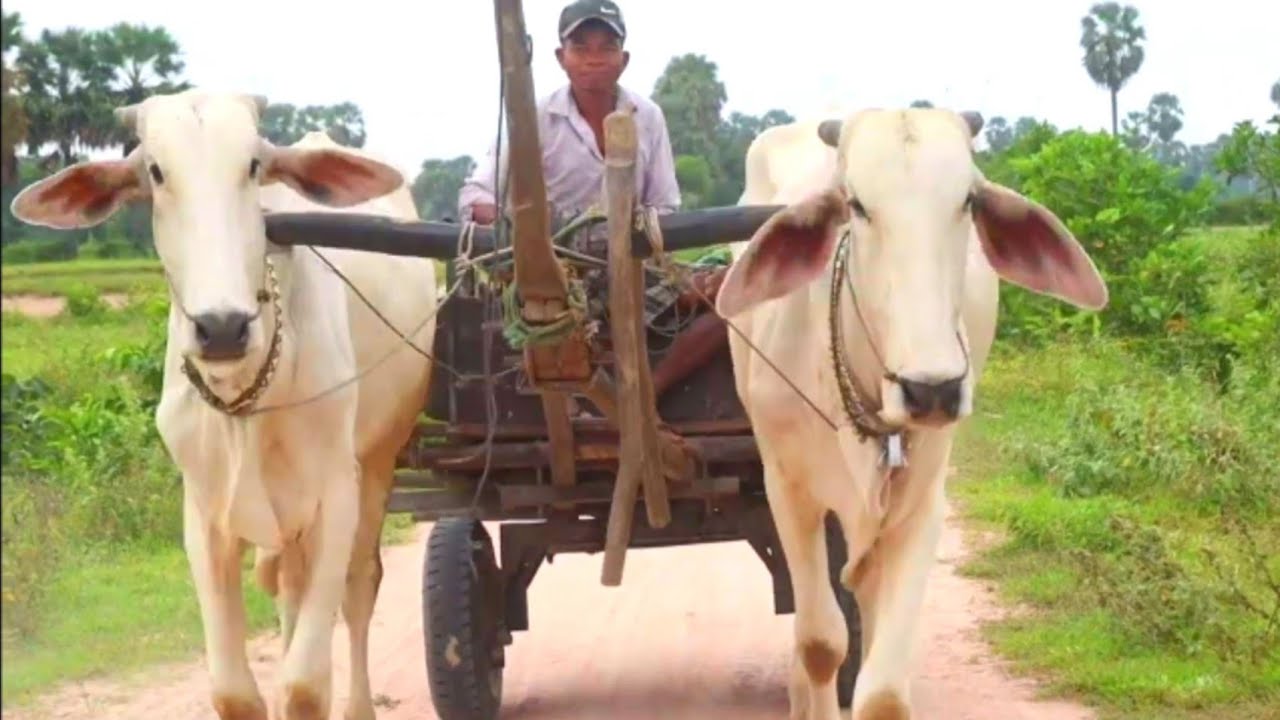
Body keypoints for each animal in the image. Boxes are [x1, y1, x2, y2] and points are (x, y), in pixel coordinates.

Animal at [9, 89, 438, 720]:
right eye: (156, 172)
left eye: (253, 165)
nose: (222, 327)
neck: (247, 395)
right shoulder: (204, 514)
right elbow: (235, 692)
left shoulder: (335, 496)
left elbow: (306, 684)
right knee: (289, 590)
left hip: (381, 457)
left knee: (360, 587)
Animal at [714, 108, 1108, 720]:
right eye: (855, 205)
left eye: (968, 200)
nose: (932, 390)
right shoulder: (786, 490)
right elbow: (820, 643)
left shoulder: (923, 503)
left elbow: (881, 692)